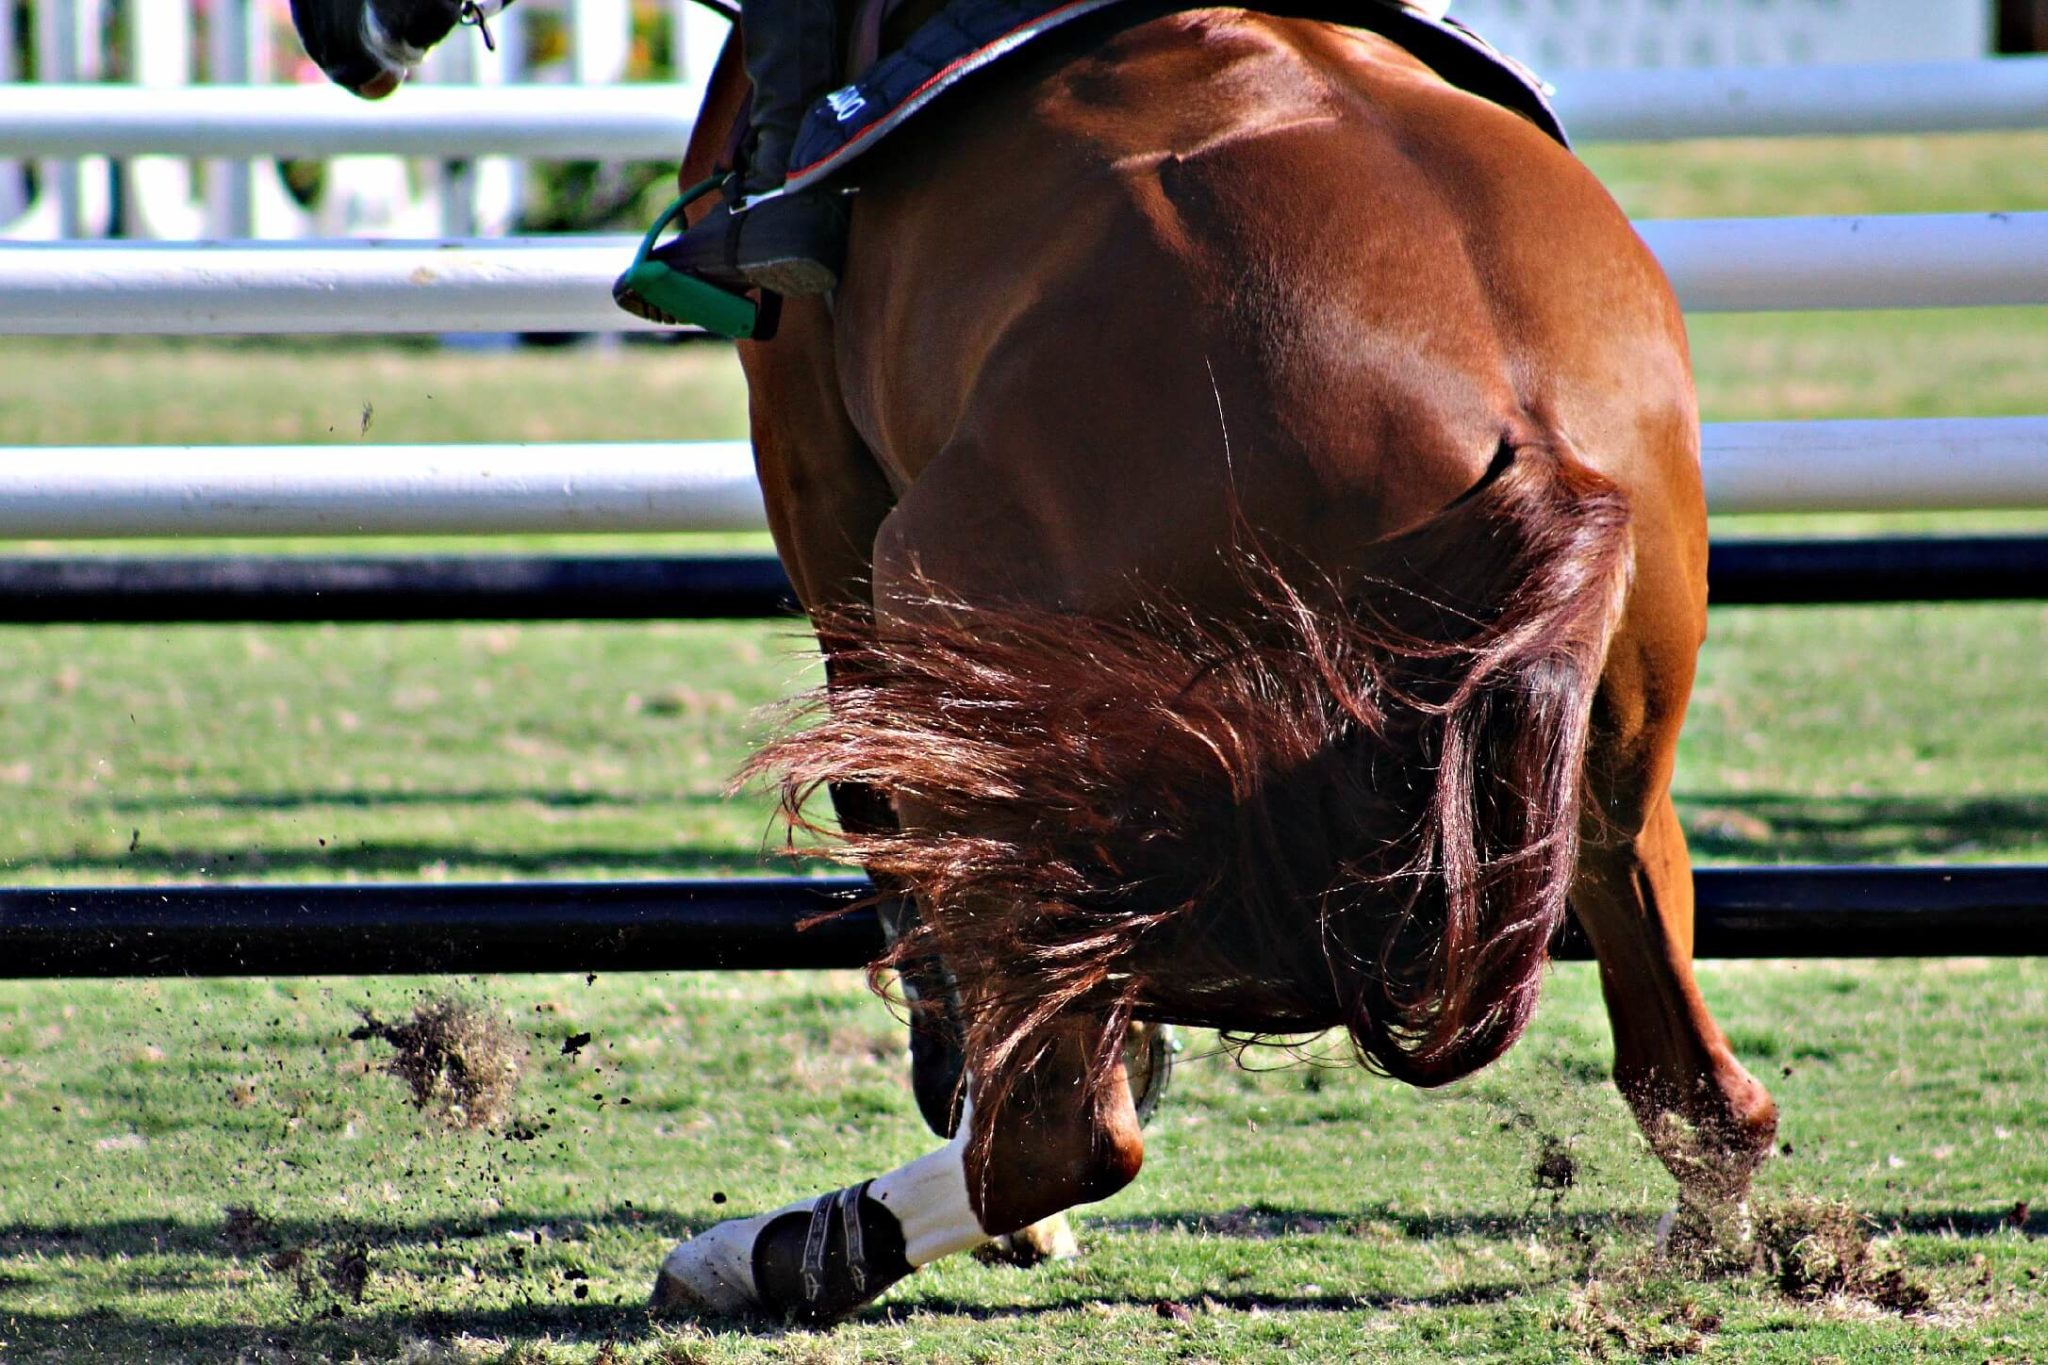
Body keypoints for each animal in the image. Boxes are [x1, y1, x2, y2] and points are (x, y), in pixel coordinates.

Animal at [288, 0, 1779, 1323]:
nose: (336, 35)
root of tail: (1527, 434)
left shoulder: (821, 479)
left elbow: (890, 830)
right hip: (1603, 771)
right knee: (1703, 1093)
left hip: (951, 604)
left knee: (1057, 1133)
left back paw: (790, 1249)